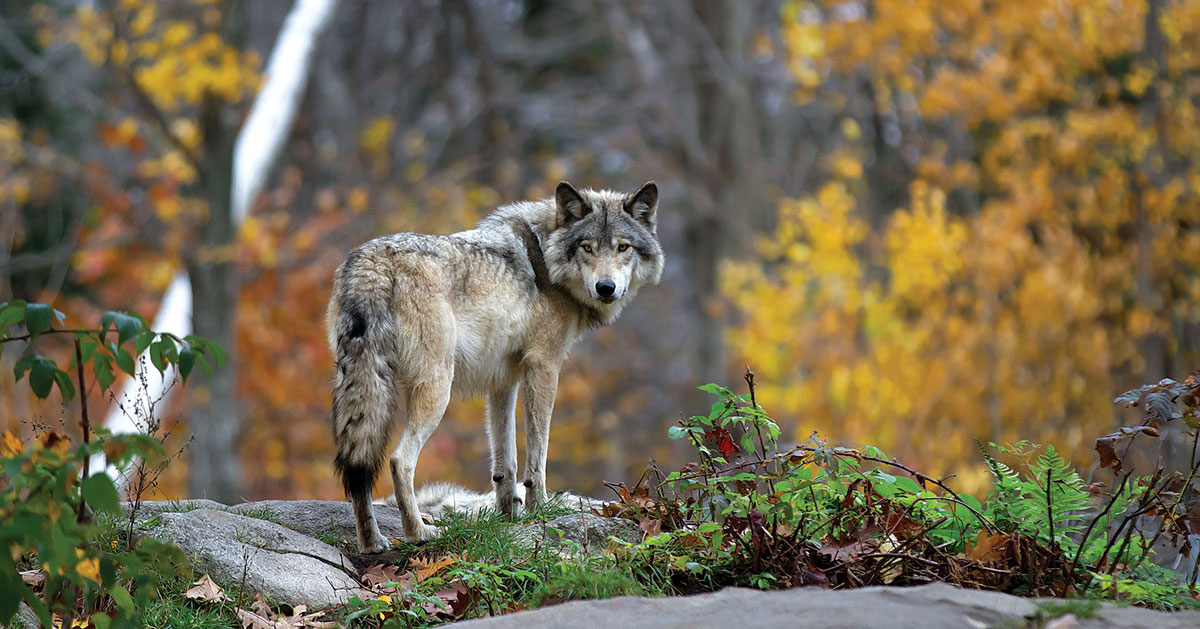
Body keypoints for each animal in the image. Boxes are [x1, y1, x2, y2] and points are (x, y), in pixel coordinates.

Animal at [327, 180, 663, 552]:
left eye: (623, 247)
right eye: (587, 247)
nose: (606, 288)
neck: (545, 257)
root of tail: (374, 260)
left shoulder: (503, 380)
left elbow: (506, 461)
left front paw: (508, 516)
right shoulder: (544, 367)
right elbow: (537, 455)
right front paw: (538, 510)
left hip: (361, 384)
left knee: (358, 466)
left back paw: (372, 543)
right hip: (436, 390)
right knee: (400, 460)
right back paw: (419, 533)